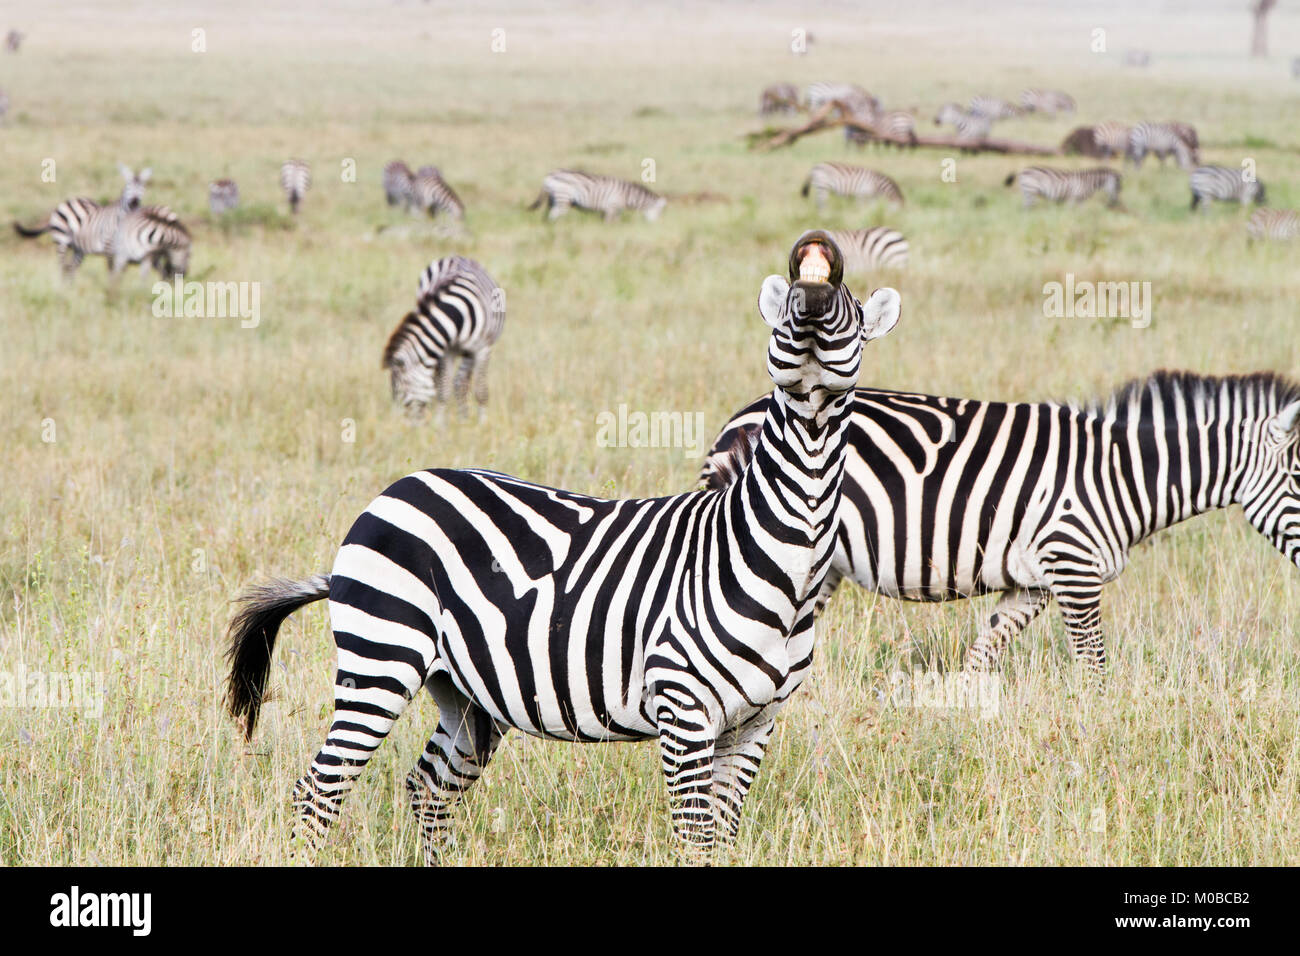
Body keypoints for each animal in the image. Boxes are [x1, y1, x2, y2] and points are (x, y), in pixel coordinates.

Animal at [13, 164, 151, 278]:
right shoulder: (109, 247)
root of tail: (65, 202)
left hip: (78, 249)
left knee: (71, 269)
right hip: (61, 240)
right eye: (128, 186)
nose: (134, 201)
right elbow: (111, 272)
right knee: (63, 268)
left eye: (143, 188)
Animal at [382, 256, 503, 420]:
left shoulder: (482, 348)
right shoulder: (447, 350)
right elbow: (443, 390)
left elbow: (480, 391)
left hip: (471, 350)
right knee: (452, 381)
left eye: (402, 396)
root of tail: (456, 256)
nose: (401, 424)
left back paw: (464, 418)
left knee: (461, 382)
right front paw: (439, 423)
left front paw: (482, 422)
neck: (458, 316)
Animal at [528, 169, 666, 222]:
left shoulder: (613, 209)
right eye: (659, 212)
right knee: (554, 213)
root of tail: (549, 176)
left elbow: (615, 221)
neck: (628, 196)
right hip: (563, 197)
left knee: (548, 213)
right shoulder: (612, 206)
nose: (654, 225)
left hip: (553, 198)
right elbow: (609, 222)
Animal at [700, 370, 1300, 675]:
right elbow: (1095, 671)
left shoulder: (1033, 584)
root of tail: (742, 416)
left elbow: (981, 655)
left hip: (813, 571)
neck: (1119, 475)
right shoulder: (1073, 568)